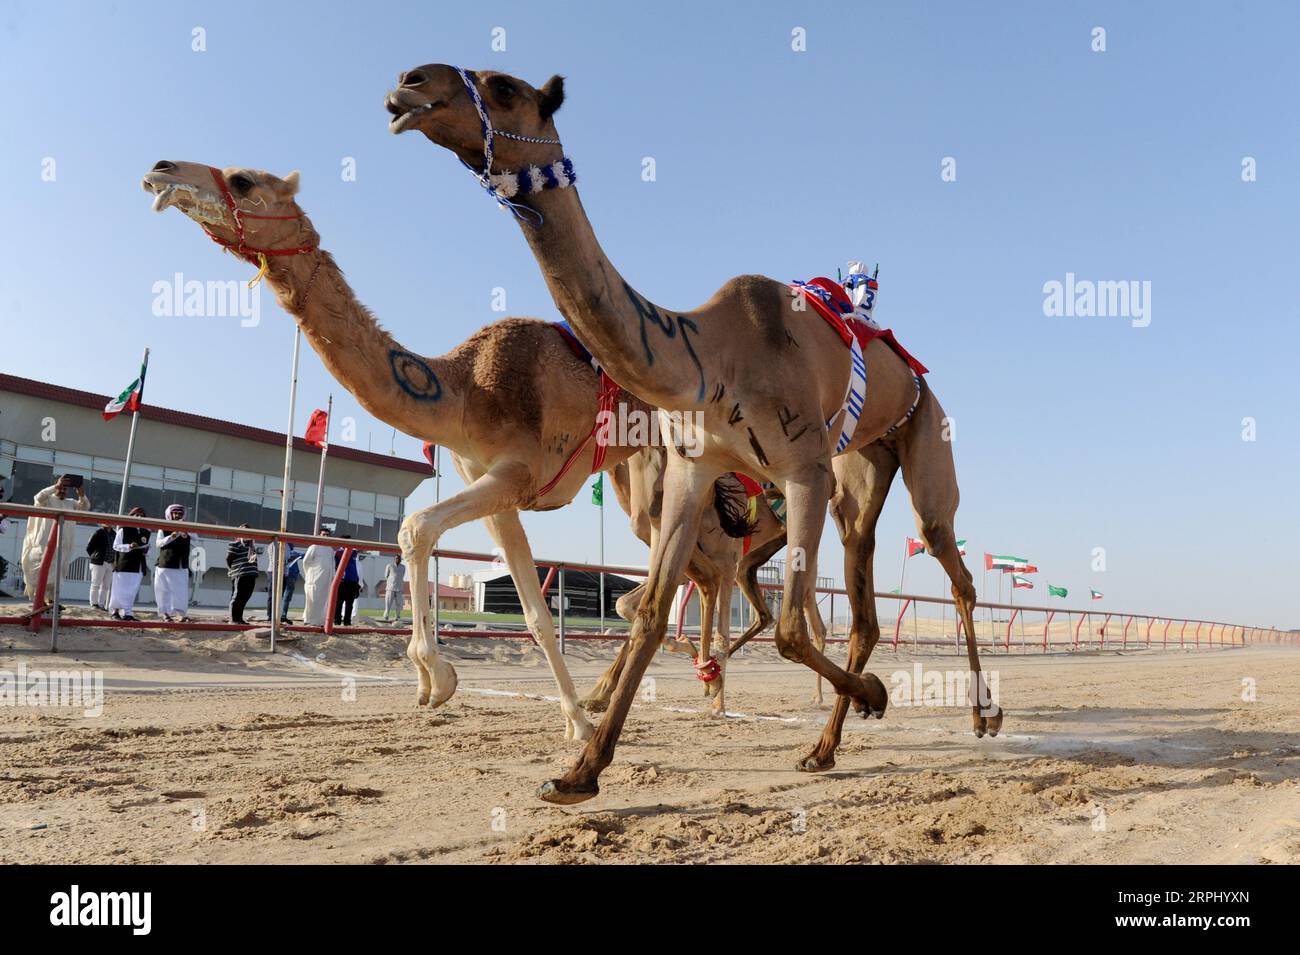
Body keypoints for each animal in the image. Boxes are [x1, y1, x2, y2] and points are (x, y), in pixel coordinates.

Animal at [139, 159, 752, 743]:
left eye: (243, 180)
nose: (161, 169)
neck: (464, 388)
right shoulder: (499, 491)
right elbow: (533, 613)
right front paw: (574, 721)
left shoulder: (517, 474)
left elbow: (416, 528)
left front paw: (438, 677)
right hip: (643, 474)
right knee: (694, 568)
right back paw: (695, 680)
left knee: (713, 562)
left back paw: (715, 682)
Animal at [386, 64, 1003, 802]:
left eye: (503, 87)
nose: (408, 84)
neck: (708, 354)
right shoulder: (694, 468)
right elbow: (652, 611)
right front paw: (580, 770)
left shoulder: (803, 468)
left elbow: (788, 630)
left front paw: (879, 694)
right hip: (861, 468)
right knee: (865, 602)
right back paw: (822, 749)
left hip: (923, 436)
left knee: (949, 561)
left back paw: (981, 713)